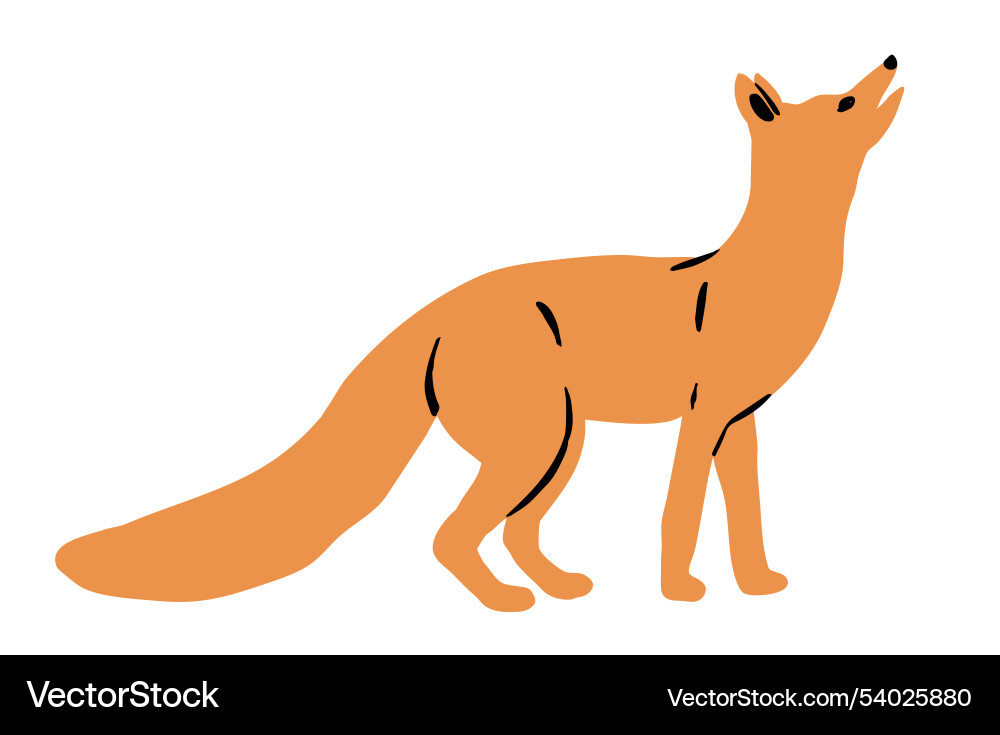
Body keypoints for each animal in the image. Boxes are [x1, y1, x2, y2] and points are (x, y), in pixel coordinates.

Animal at [56, 57, 904, 611]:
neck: (765, 268)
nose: (892, 57)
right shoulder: (700, 422)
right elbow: (680, 514)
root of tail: (440, 307)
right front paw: (679, 593)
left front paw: (757, 586)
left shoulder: (739, 425)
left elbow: (747, 518)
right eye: (842, 104)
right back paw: (505, 603)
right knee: (450, 536)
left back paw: (557, 589)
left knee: (512, 534)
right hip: (537, 444)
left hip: (559, 446)